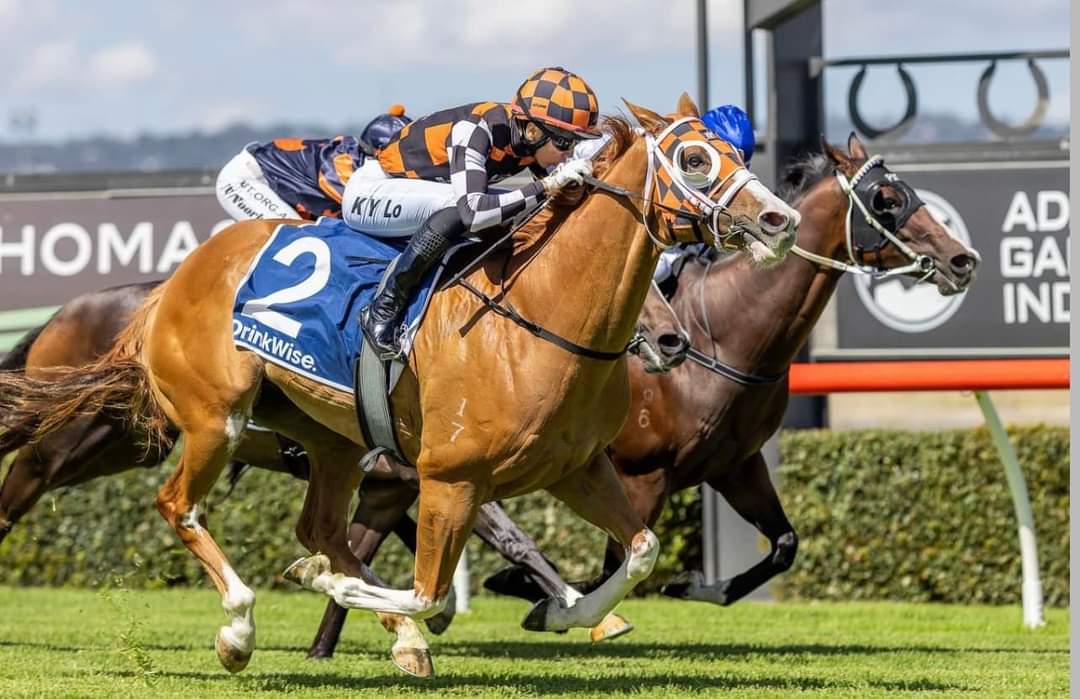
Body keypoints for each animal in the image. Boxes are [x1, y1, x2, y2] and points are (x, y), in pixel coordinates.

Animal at [0, 95, 799, 677]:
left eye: (737, 153)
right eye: (694, 157)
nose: (780, 218)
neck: (535, 317)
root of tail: (172, 283)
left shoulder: (574, 468)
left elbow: (639, 550)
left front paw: (568, 611)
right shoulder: (449, 476)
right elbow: (431, 586)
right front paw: (360, 599)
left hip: (325, 443)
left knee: (319, 527)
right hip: (201, 423)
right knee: (171, 505)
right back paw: (240, 628)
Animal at [300, 133, 981, 653]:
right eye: (888, 199)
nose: (963, 260)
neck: (722, 339)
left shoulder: (735, 465)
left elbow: (783, 545)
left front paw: (694, 585)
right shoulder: (640, 472)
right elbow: (612, 561)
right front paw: (551, 602)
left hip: (392, 476)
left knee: (352, 539)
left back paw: (358, 639)